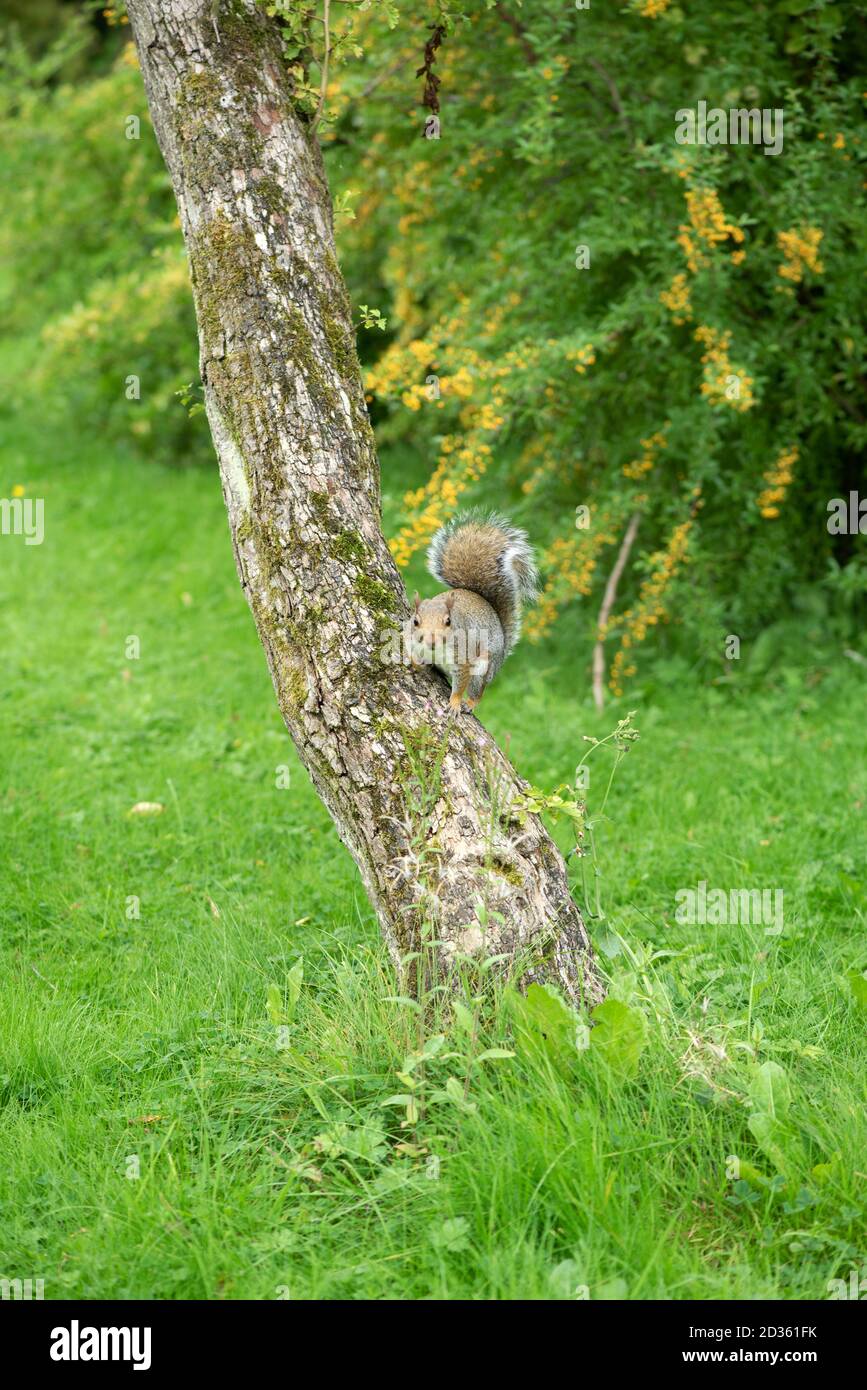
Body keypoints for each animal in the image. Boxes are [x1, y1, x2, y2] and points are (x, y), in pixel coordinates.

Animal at [408, 511, 538, 713]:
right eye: (415, 621)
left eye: (448, 621)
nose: (431, 640)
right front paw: (412, 661)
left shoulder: (463, 659)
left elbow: (460, 684)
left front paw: (455, 702)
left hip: (484, 667)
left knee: (479, 689)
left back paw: (470, 703)